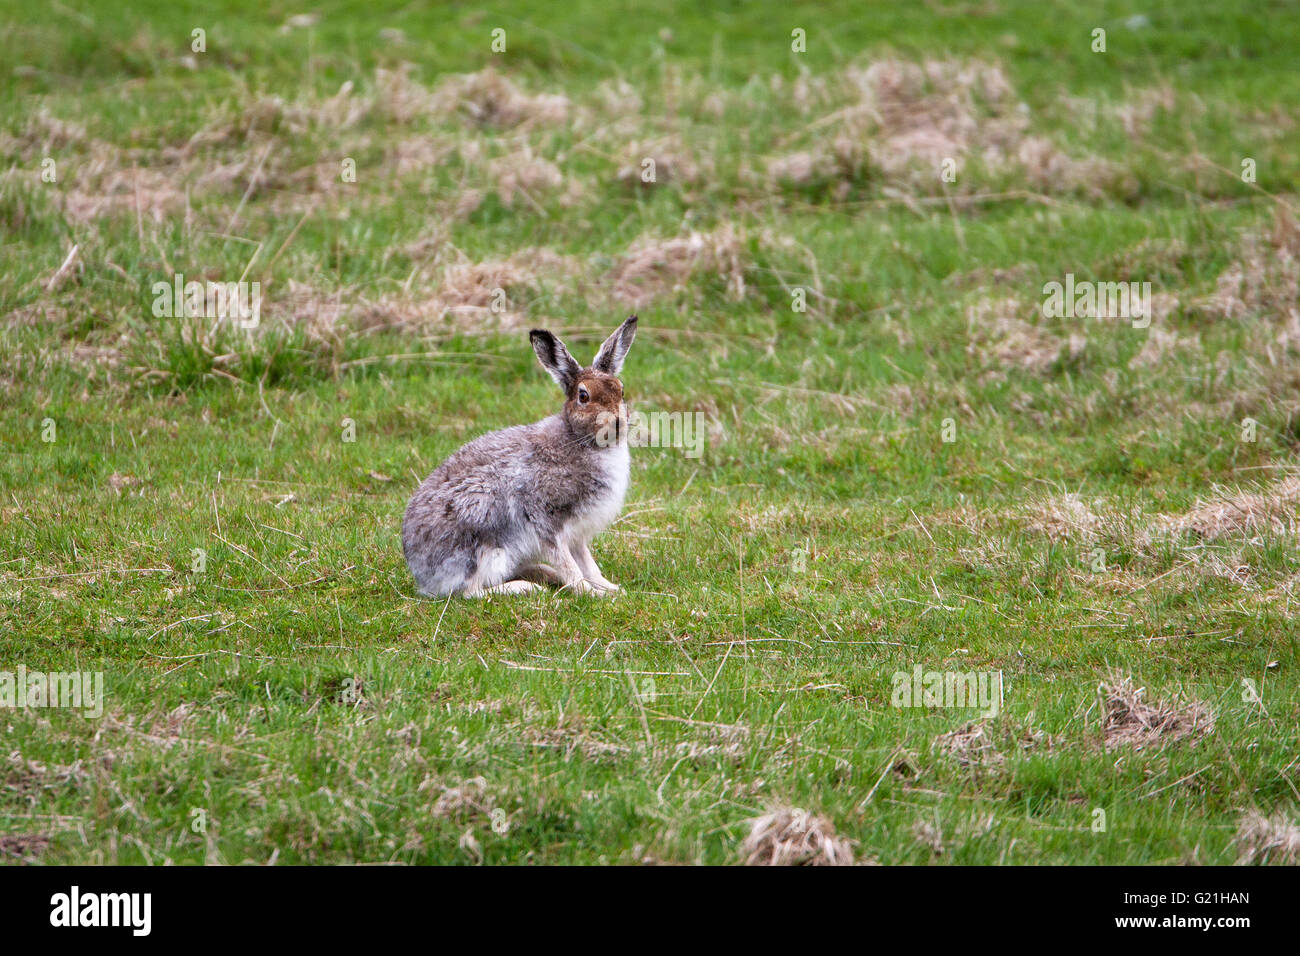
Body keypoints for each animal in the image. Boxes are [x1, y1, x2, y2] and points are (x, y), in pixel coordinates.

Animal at [402, 315, 638, 598]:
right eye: (583, 396)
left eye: (621, 391)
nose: (617, 422)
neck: (580, 439)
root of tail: (422, 575)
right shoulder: (545, 519)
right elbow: (568, 562)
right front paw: (589, 592)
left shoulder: (576, 532)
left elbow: (587, 562)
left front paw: (611, 589)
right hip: (482, 542)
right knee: (471, 591)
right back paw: (525, 587)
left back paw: (545, 575)